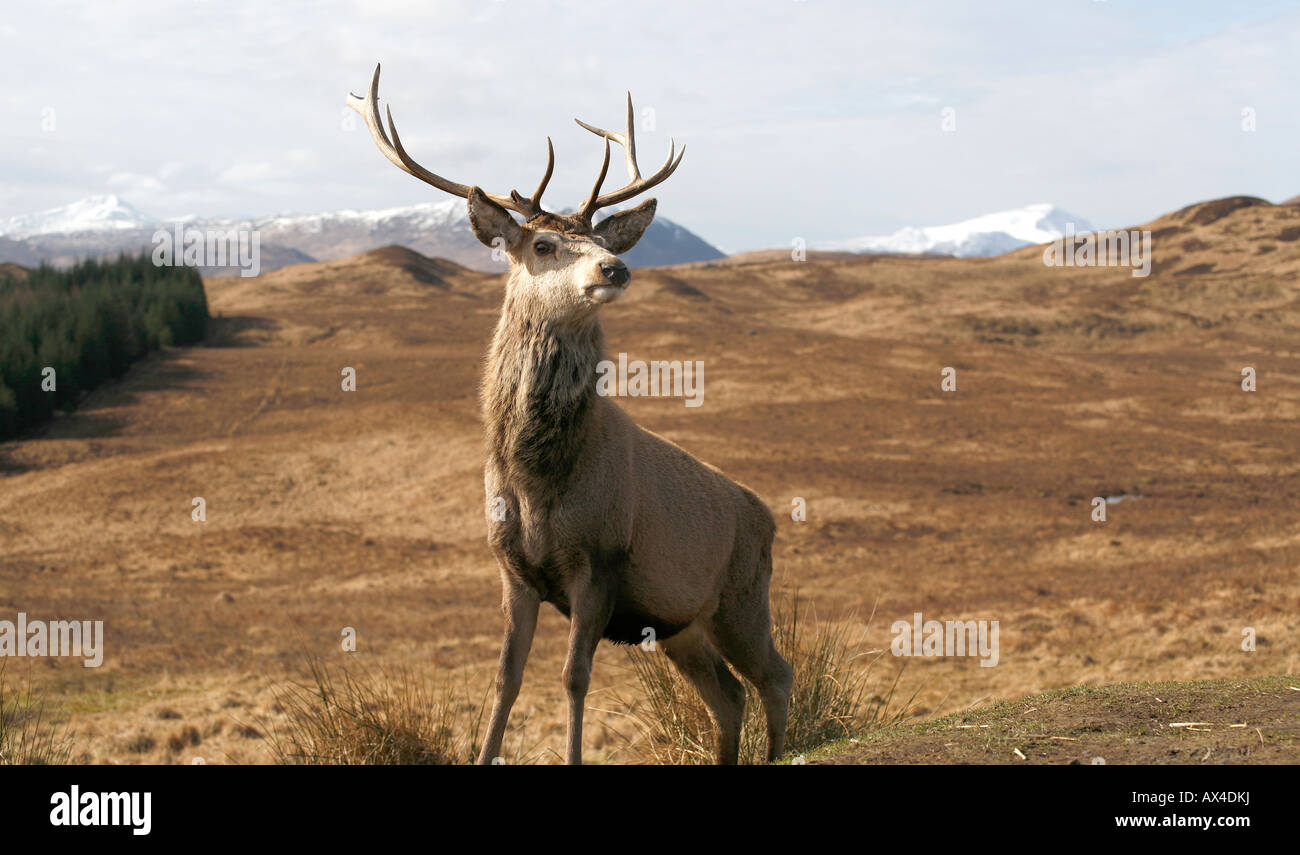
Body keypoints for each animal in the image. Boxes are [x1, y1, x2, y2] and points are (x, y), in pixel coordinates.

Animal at [347, 65, 792, 765]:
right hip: (681, 626)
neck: (538, 480)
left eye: (601, 239)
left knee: (776, 676)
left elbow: (573, 678)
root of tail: (770, 519)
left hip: (743, 596)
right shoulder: (512, 568)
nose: (616, 266)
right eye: (545, 243)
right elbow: (505, 678)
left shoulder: (601, 563)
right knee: (728, 694)